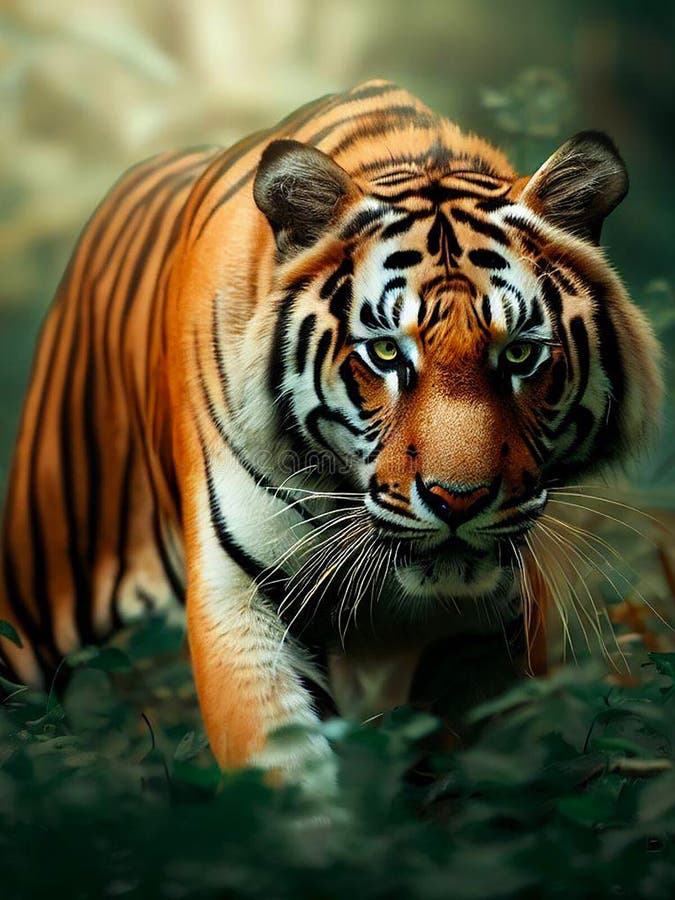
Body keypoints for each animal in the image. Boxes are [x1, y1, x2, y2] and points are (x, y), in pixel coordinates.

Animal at [0, 80, 662, 781]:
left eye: (519, 355)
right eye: (387, 353)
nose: (459, 501)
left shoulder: (490, 628)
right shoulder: (238, 597)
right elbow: (282, 760)